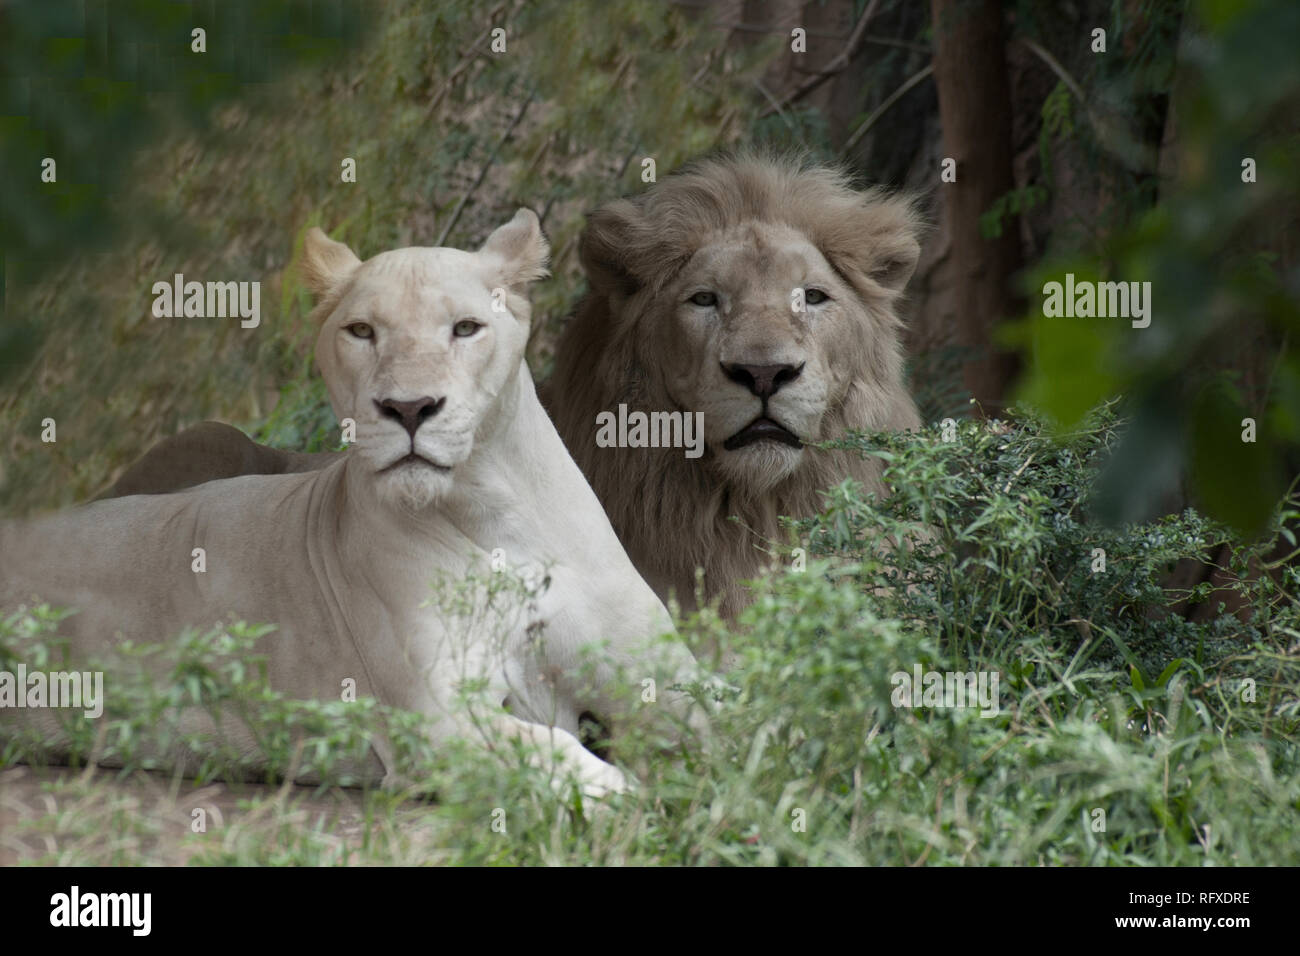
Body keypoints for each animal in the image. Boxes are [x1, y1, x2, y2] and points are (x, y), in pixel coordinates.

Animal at [0, 210, 705, 796]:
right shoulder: (438, 722)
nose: (409, 409)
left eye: (466, 328)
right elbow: (562, 755)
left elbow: (726, 715)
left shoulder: (661, 675)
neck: (493, 514)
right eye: (362, 331)